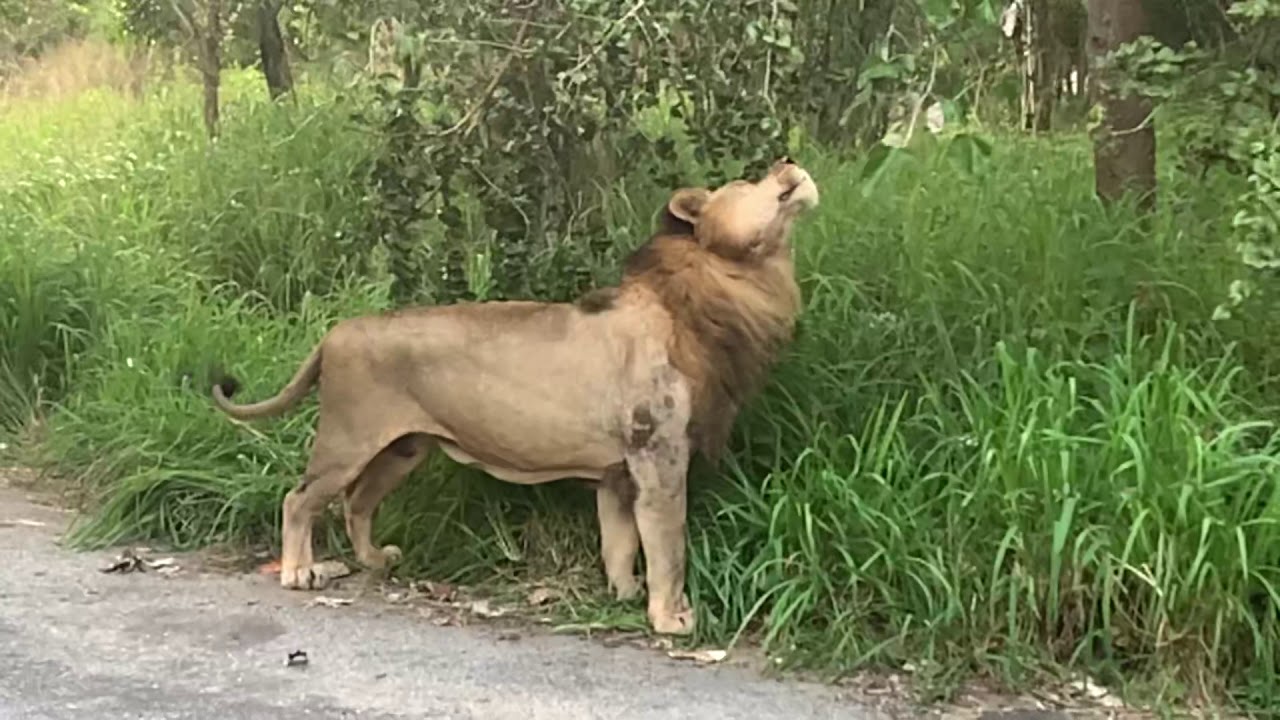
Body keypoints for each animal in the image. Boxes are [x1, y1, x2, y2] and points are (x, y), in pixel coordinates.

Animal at [211, 158, 820, 635]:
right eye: (749, 178)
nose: (788, 159)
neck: (727, 286)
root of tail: (334, 333)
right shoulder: (659, 455)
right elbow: (668, 544)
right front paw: (671, 617)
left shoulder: (618, 473)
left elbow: (619, 541)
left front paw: (623, 595)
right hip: (348, 440)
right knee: (300, 499)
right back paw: (299, 573)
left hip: (403, 448)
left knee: (356, 503)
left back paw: (374, 560)